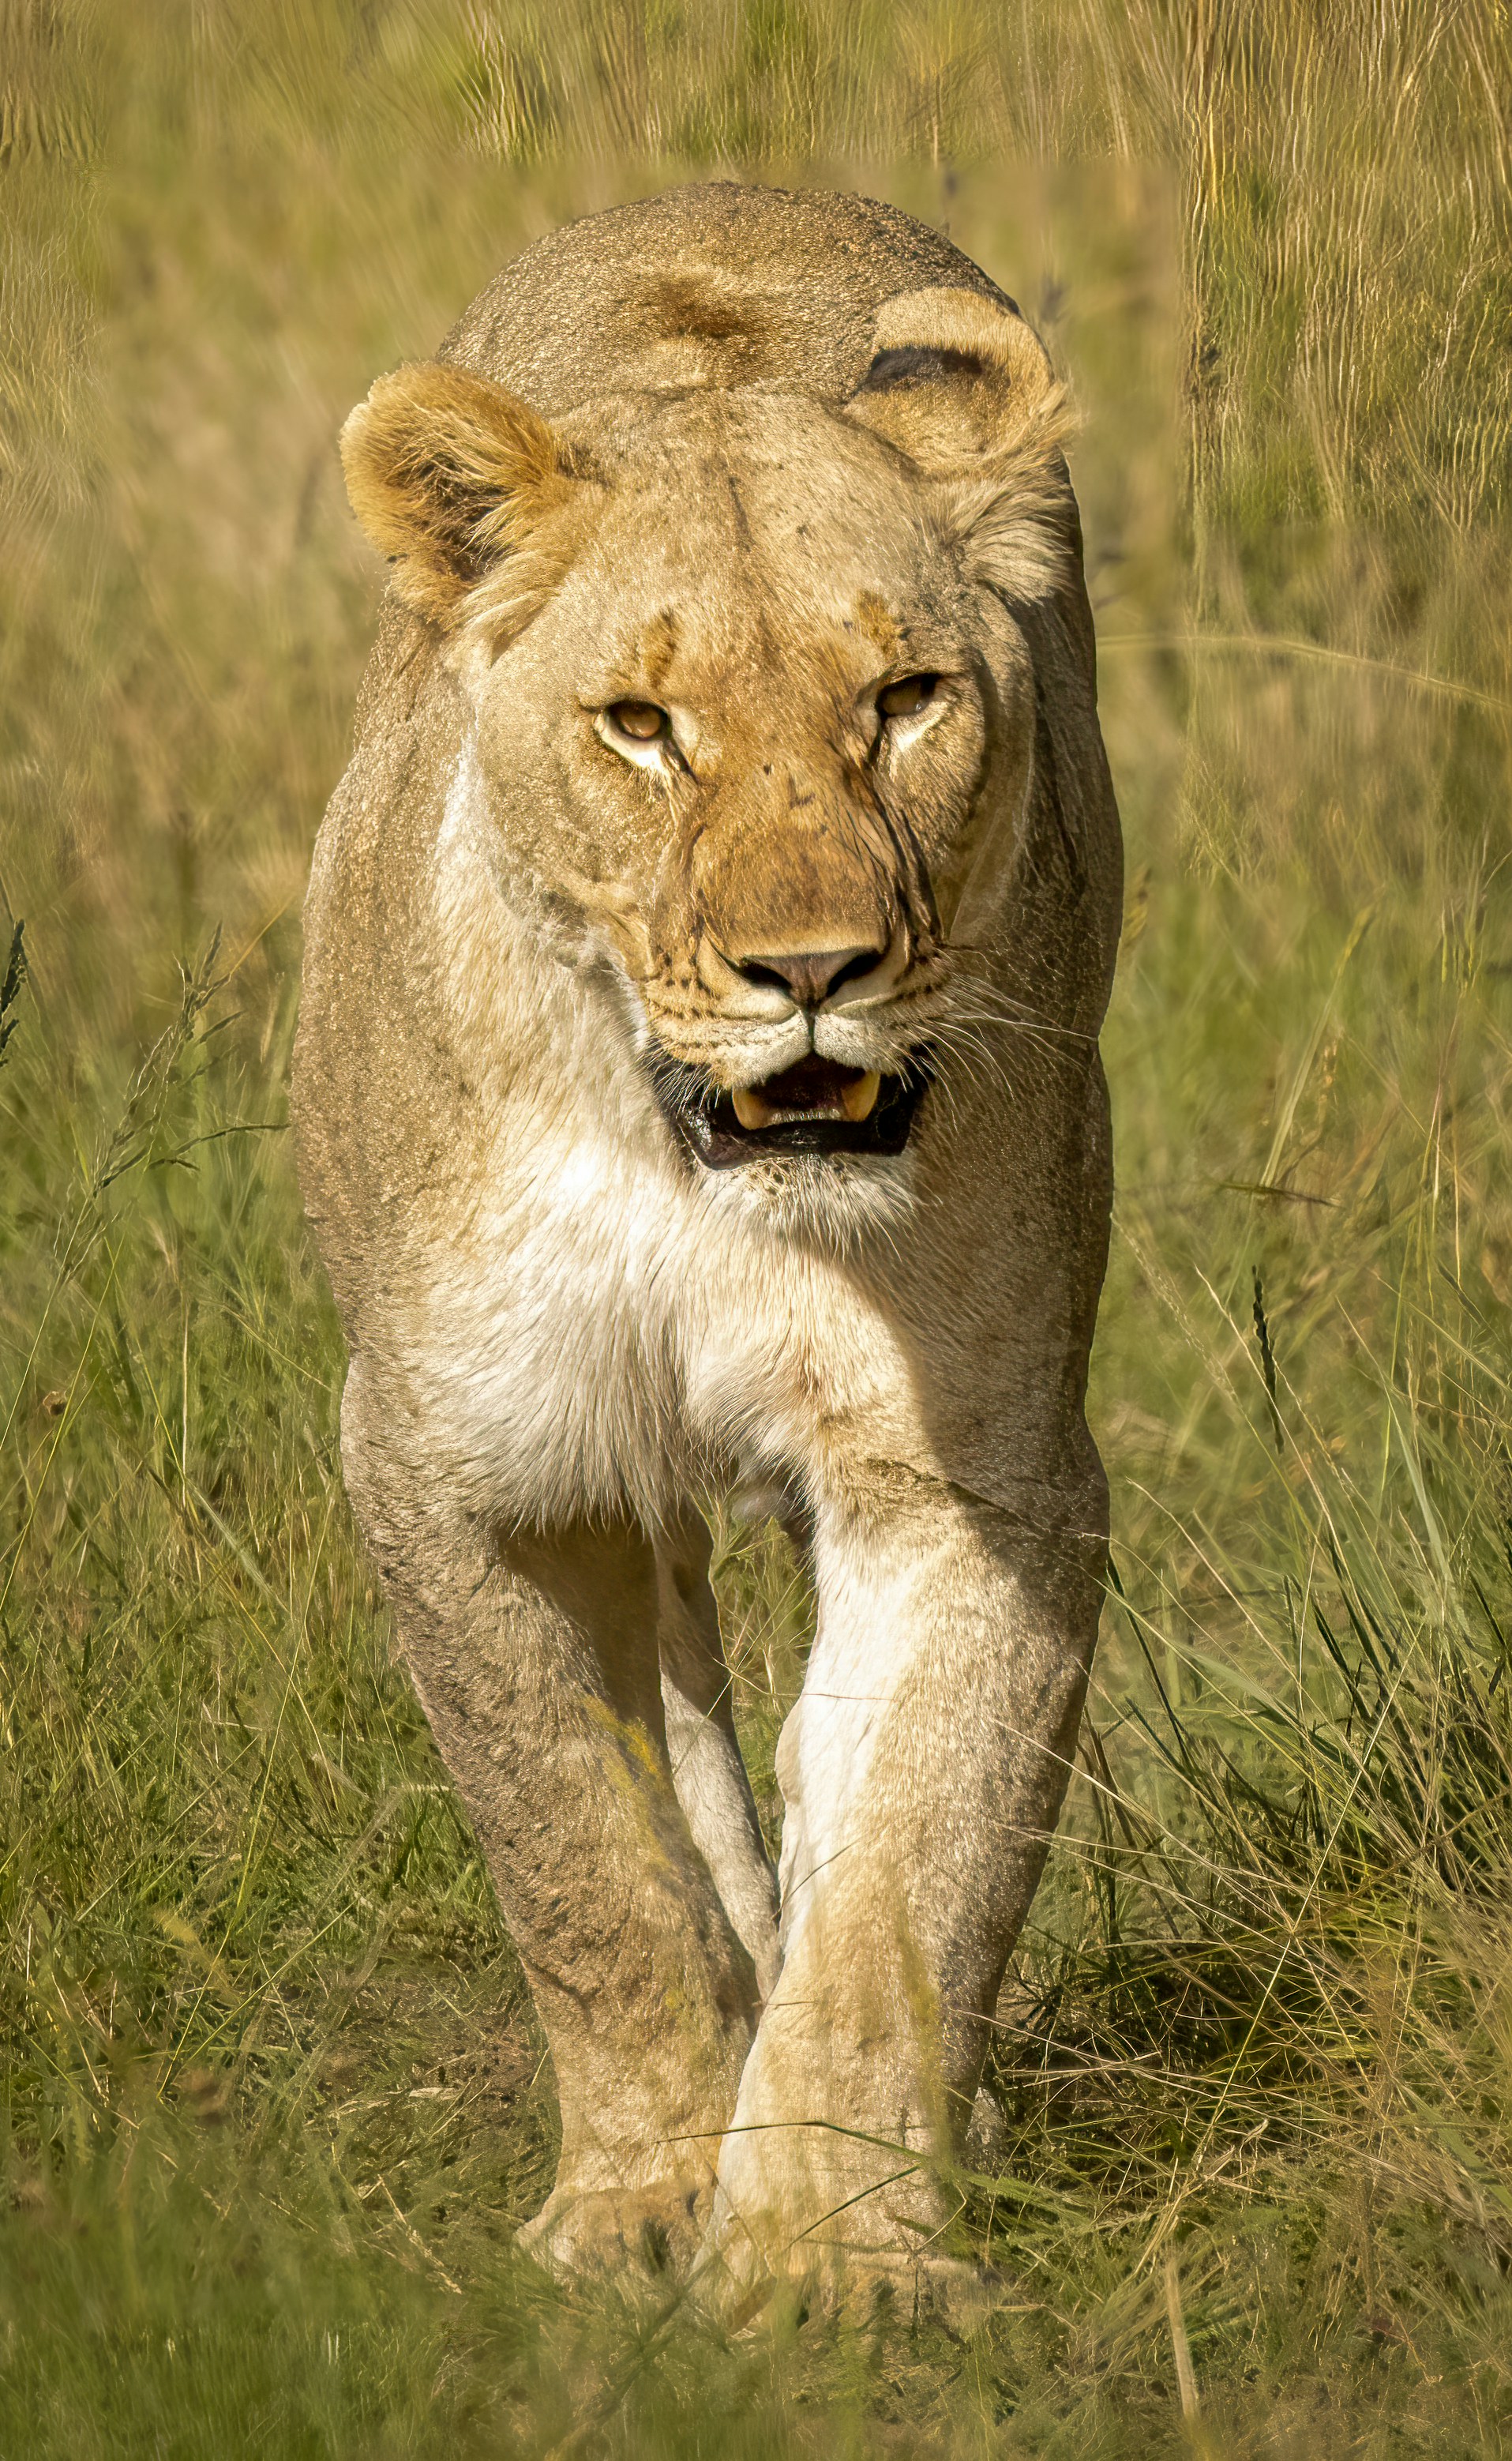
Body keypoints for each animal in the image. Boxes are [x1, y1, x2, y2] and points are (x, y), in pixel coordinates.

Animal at [293, 181, 1120, 2303]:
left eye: (904, 699)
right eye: (642, 729)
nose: (812, 970)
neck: (700, 1187)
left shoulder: (976, 1476)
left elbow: (910, 1872)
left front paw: (826, 2245)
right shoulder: (456, 1460)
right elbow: (582, 1866)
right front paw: (639, 2198)